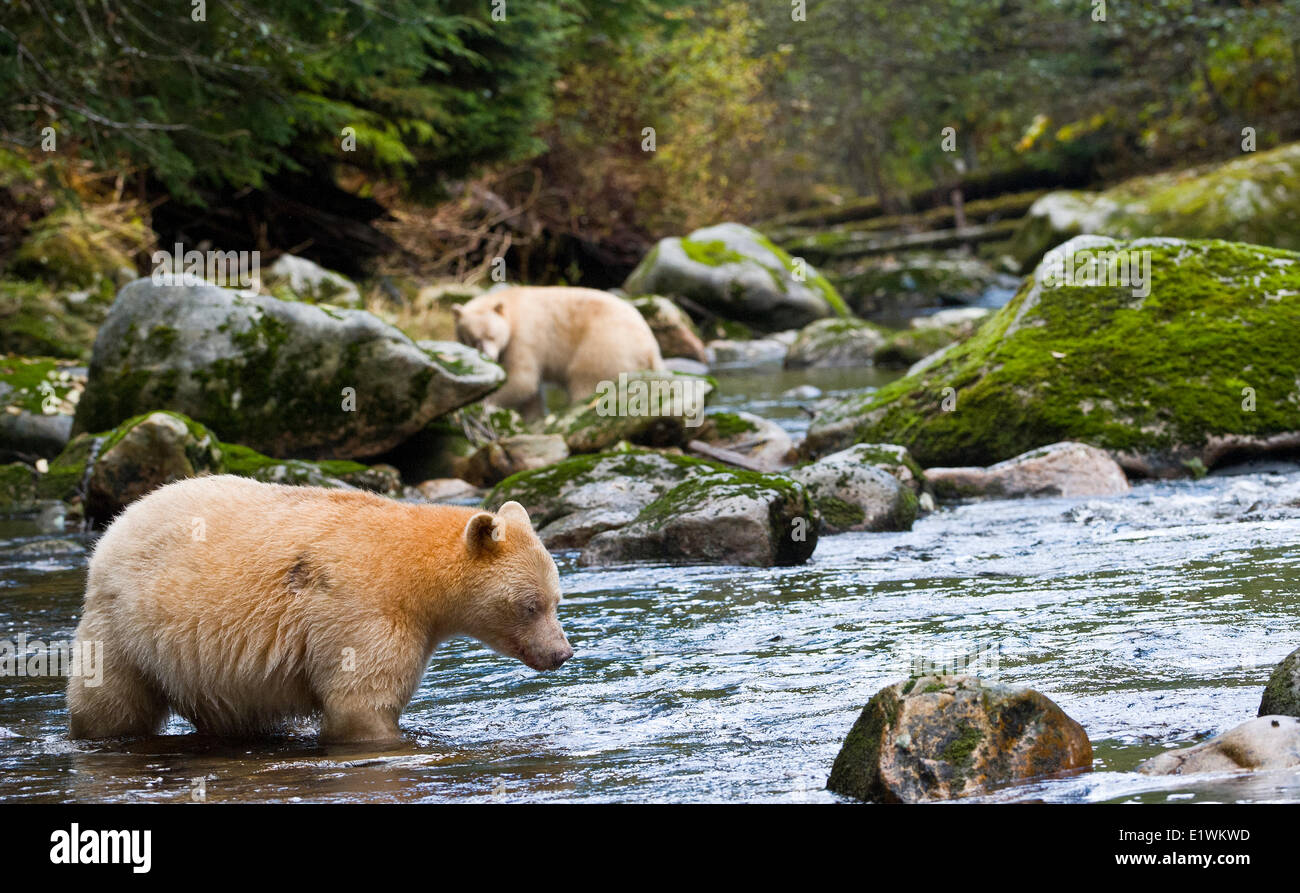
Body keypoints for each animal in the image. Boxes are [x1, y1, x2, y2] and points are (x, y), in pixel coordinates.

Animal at [66, 475, 572, 743]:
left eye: (556, 599)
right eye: (531, 605)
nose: (562, 653)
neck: (416, 576)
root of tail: (115, 526)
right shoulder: (364, 611)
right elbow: (361, 702)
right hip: (123, 625)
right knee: (110, 700)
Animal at [453, 286, 664, 419]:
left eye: (491, 335)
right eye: (471, 339)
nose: (489, 356)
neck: (512, 304)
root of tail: (650, 347)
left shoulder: (524, 336)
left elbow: (522, 380)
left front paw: (485, 403)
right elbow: (531, 393)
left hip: (605, 345)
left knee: (585, 379)